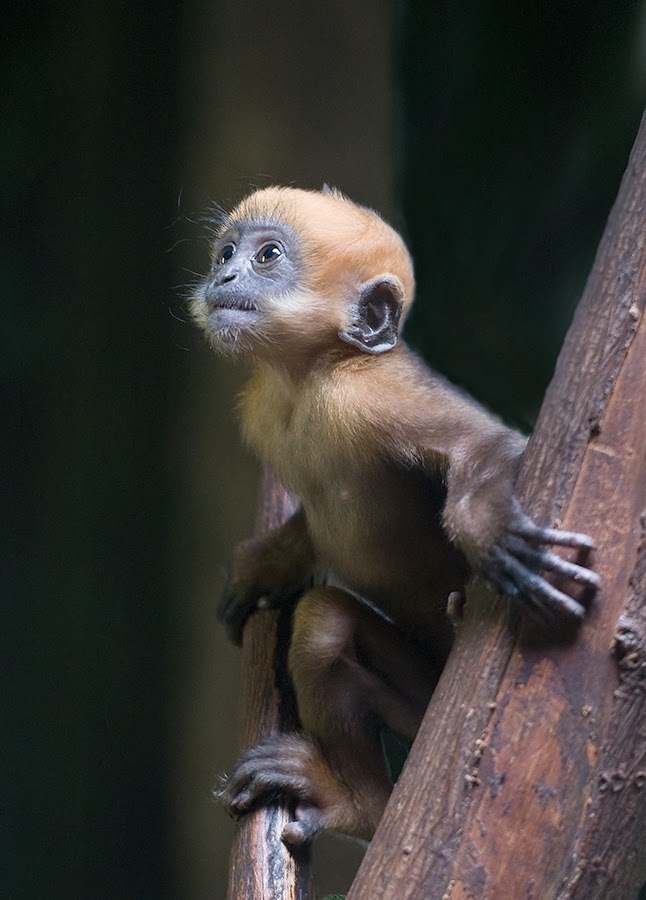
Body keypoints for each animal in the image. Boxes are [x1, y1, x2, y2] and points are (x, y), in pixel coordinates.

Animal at [191, 185, 599, 846]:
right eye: (227, 252)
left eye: (267, 256)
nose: (221, 276)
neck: (309, 379)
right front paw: (265, 566)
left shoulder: (367, 396)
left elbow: (490, 446)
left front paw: (490, 533)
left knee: (323, 627)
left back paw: (359, 806)